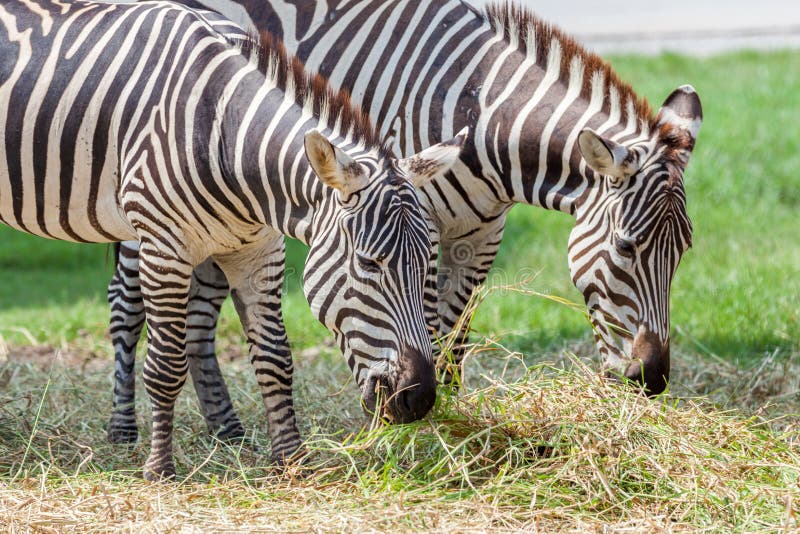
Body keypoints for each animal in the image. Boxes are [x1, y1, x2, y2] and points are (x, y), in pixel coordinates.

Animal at [0, 0, 466, 479]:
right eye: (370, 264)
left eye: (429, 268)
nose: (419, 399)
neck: (226, 137)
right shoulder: (163, 246)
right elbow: (166, 363)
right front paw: (160, 470)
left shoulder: (260, 252)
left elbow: (275, 358)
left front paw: (292, 460)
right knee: (125, 309)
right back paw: (123, 430)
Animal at [108, 0, 702, 432]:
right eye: (626, 247)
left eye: (683, 255)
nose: (651, 381)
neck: (475, 107)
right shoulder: (417, 221)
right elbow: (417, 326)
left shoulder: (481, 235)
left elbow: (454, 338)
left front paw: (450, 412)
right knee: (128, 302)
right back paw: (124, 432)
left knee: (199, 313)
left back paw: (227, 432)